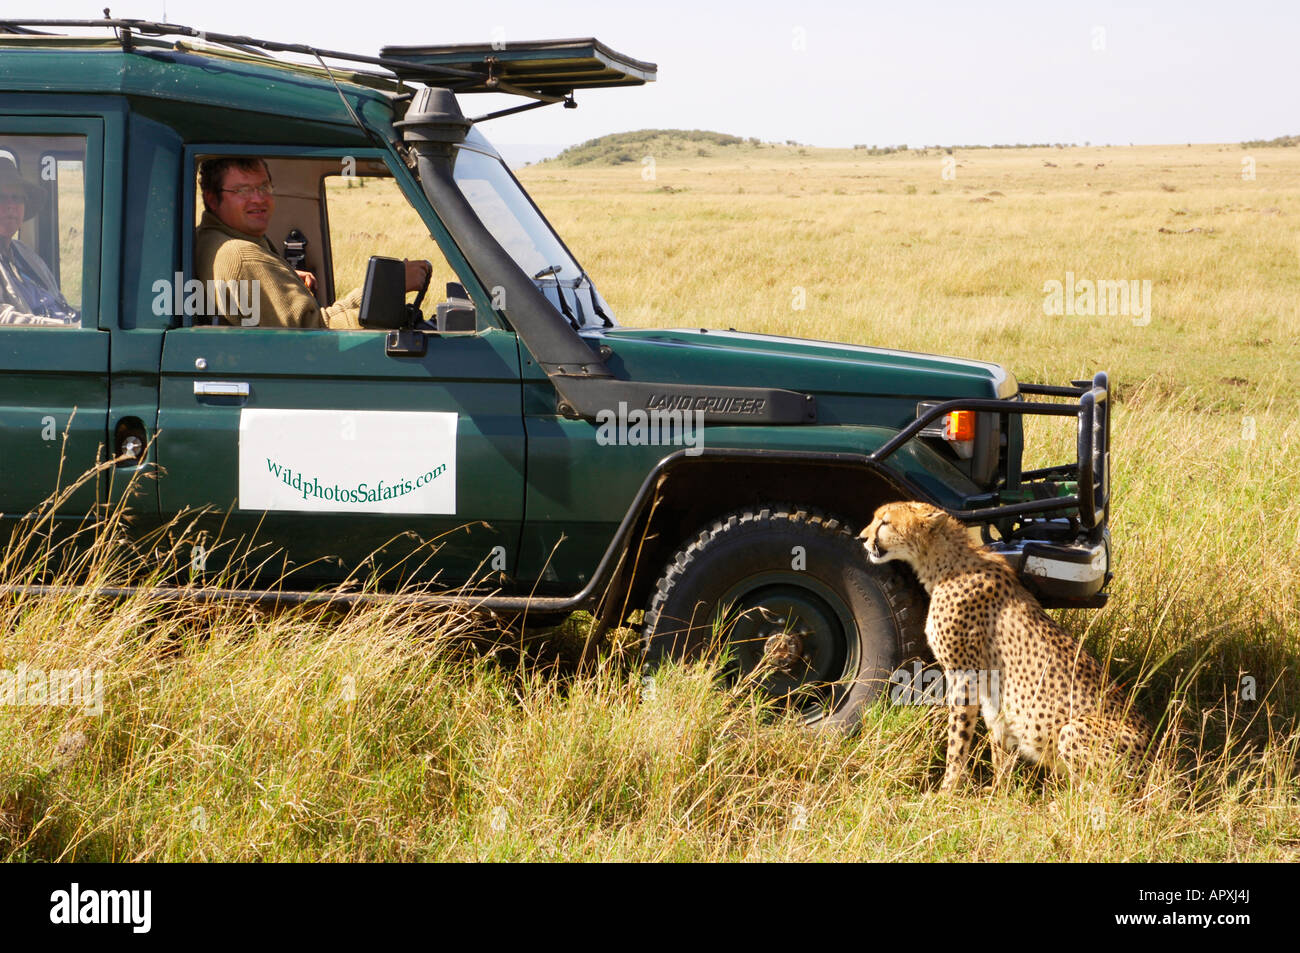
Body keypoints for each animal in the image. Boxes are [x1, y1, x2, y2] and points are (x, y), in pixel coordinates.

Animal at [859, 500, 1149, 791]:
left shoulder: (964, 675)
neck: (945, 564)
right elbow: (997, 736)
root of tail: (1156, 756)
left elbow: (958, 737)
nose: (861, 538)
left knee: (1102, 793)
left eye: (885, 523)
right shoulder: (991, 688)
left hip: (1072, 731)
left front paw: (947, 790)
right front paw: (999, 790)